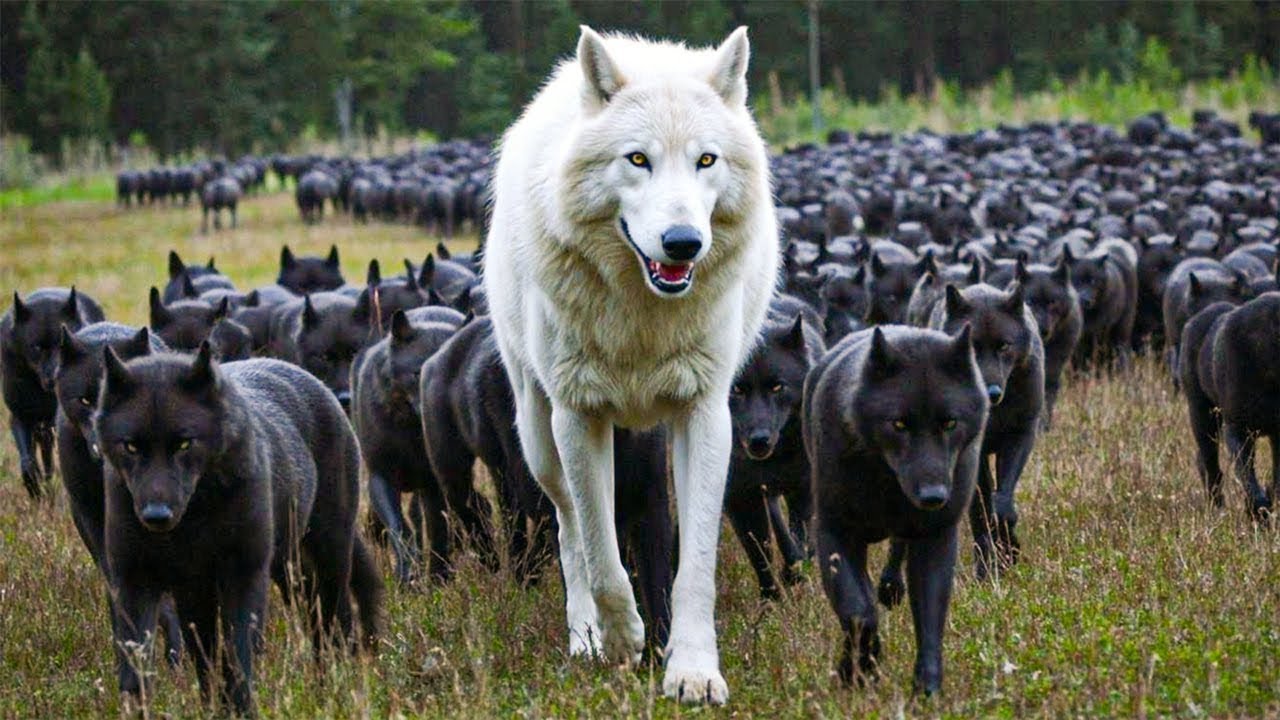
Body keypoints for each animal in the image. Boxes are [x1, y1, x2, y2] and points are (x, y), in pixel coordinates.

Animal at [2, 287, 105, 497]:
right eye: (36, 347)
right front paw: (35, 488)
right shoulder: (20, 417)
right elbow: (27, 462)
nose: (56, 376)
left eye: (61, 344)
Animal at [95, 345, 384, 715]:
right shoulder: (137, 583)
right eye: (130, 446)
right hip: (275, 576)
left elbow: (239, 658)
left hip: (327, 559)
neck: (191, 521)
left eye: (185, 444)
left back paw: (334, 689)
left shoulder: (243, 576)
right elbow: (139, 673)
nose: (156, 516)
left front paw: (243, 711)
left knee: (334, 624)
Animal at [483, 26, 776, 704]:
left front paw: (692, 671)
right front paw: (622, 643)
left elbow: (694, 566)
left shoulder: (706, 415)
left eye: (705, 161)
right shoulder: (578, 415)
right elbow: (601, 555)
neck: (644, 315)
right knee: (568, 530)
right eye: (638, 160)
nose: (683, 243)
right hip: (538, 434)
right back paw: (586, 638)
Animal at [804, 325, 988, 695]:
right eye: (899, 424)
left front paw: (927, 690)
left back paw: (891, 587)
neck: (887, 484)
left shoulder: (935, 537)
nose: (934, 497)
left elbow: (930, 619)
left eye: (950, 423)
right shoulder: (835, 534)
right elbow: (859, 614)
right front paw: (859, 672)